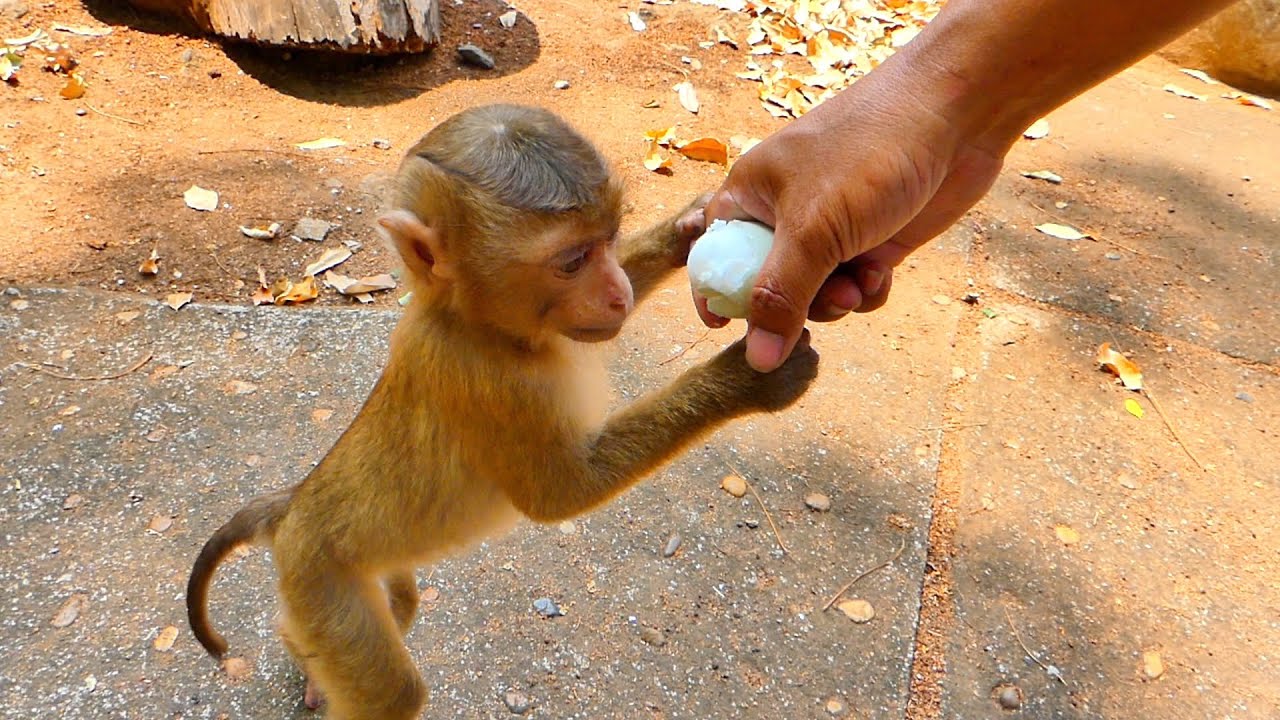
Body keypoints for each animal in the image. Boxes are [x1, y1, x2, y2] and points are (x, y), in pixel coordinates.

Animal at [187, 103, 819, 719]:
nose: (616, 291)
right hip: (318, 576)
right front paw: (746, 379)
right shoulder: (488, 384)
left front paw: (685, 231)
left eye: (608, 241)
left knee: (398, 606)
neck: (476, 325)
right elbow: (557, 495)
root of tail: (293, 508)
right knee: (389, 691)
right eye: (572, 261)